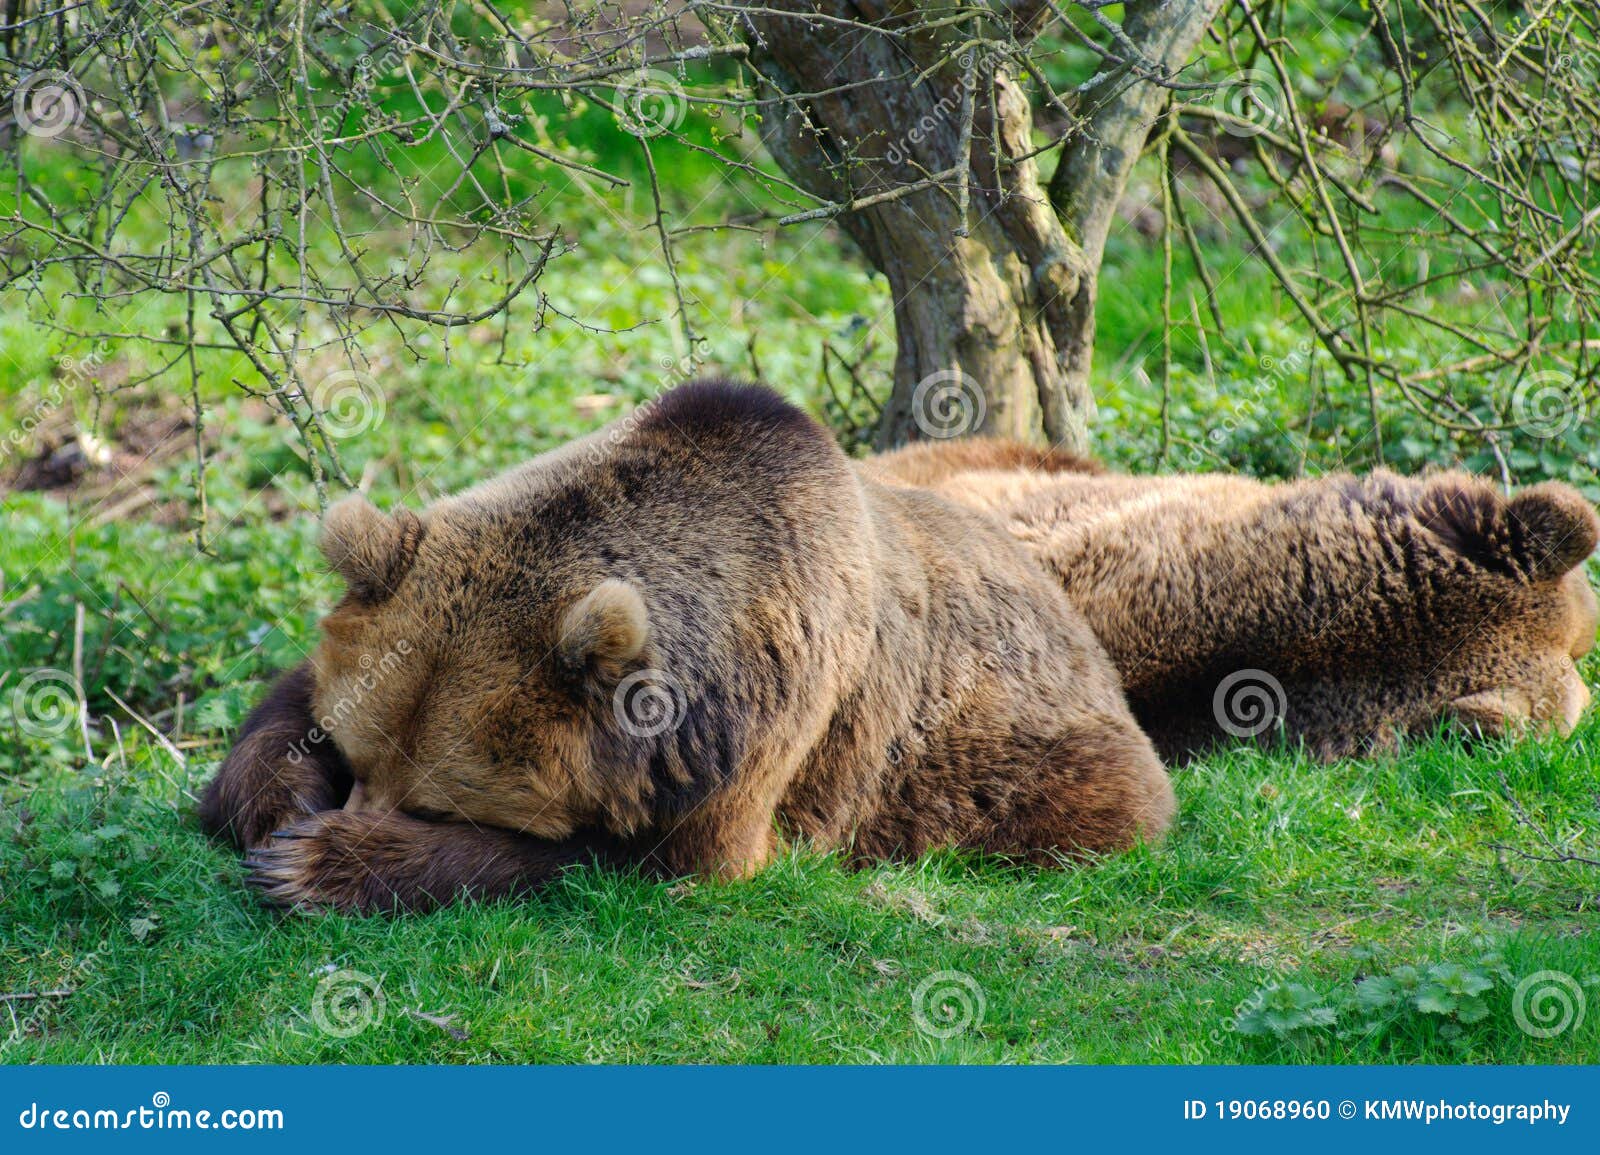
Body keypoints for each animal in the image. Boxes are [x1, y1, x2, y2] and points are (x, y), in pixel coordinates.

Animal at [199, 381, 1174, 912]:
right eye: (352, 748)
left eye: (443, 804)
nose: (353, 811)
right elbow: (279, 707)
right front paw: (278, 808)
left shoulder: (756, 725)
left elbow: (640, 862)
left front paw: (317, 865)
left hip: (1027, 761)